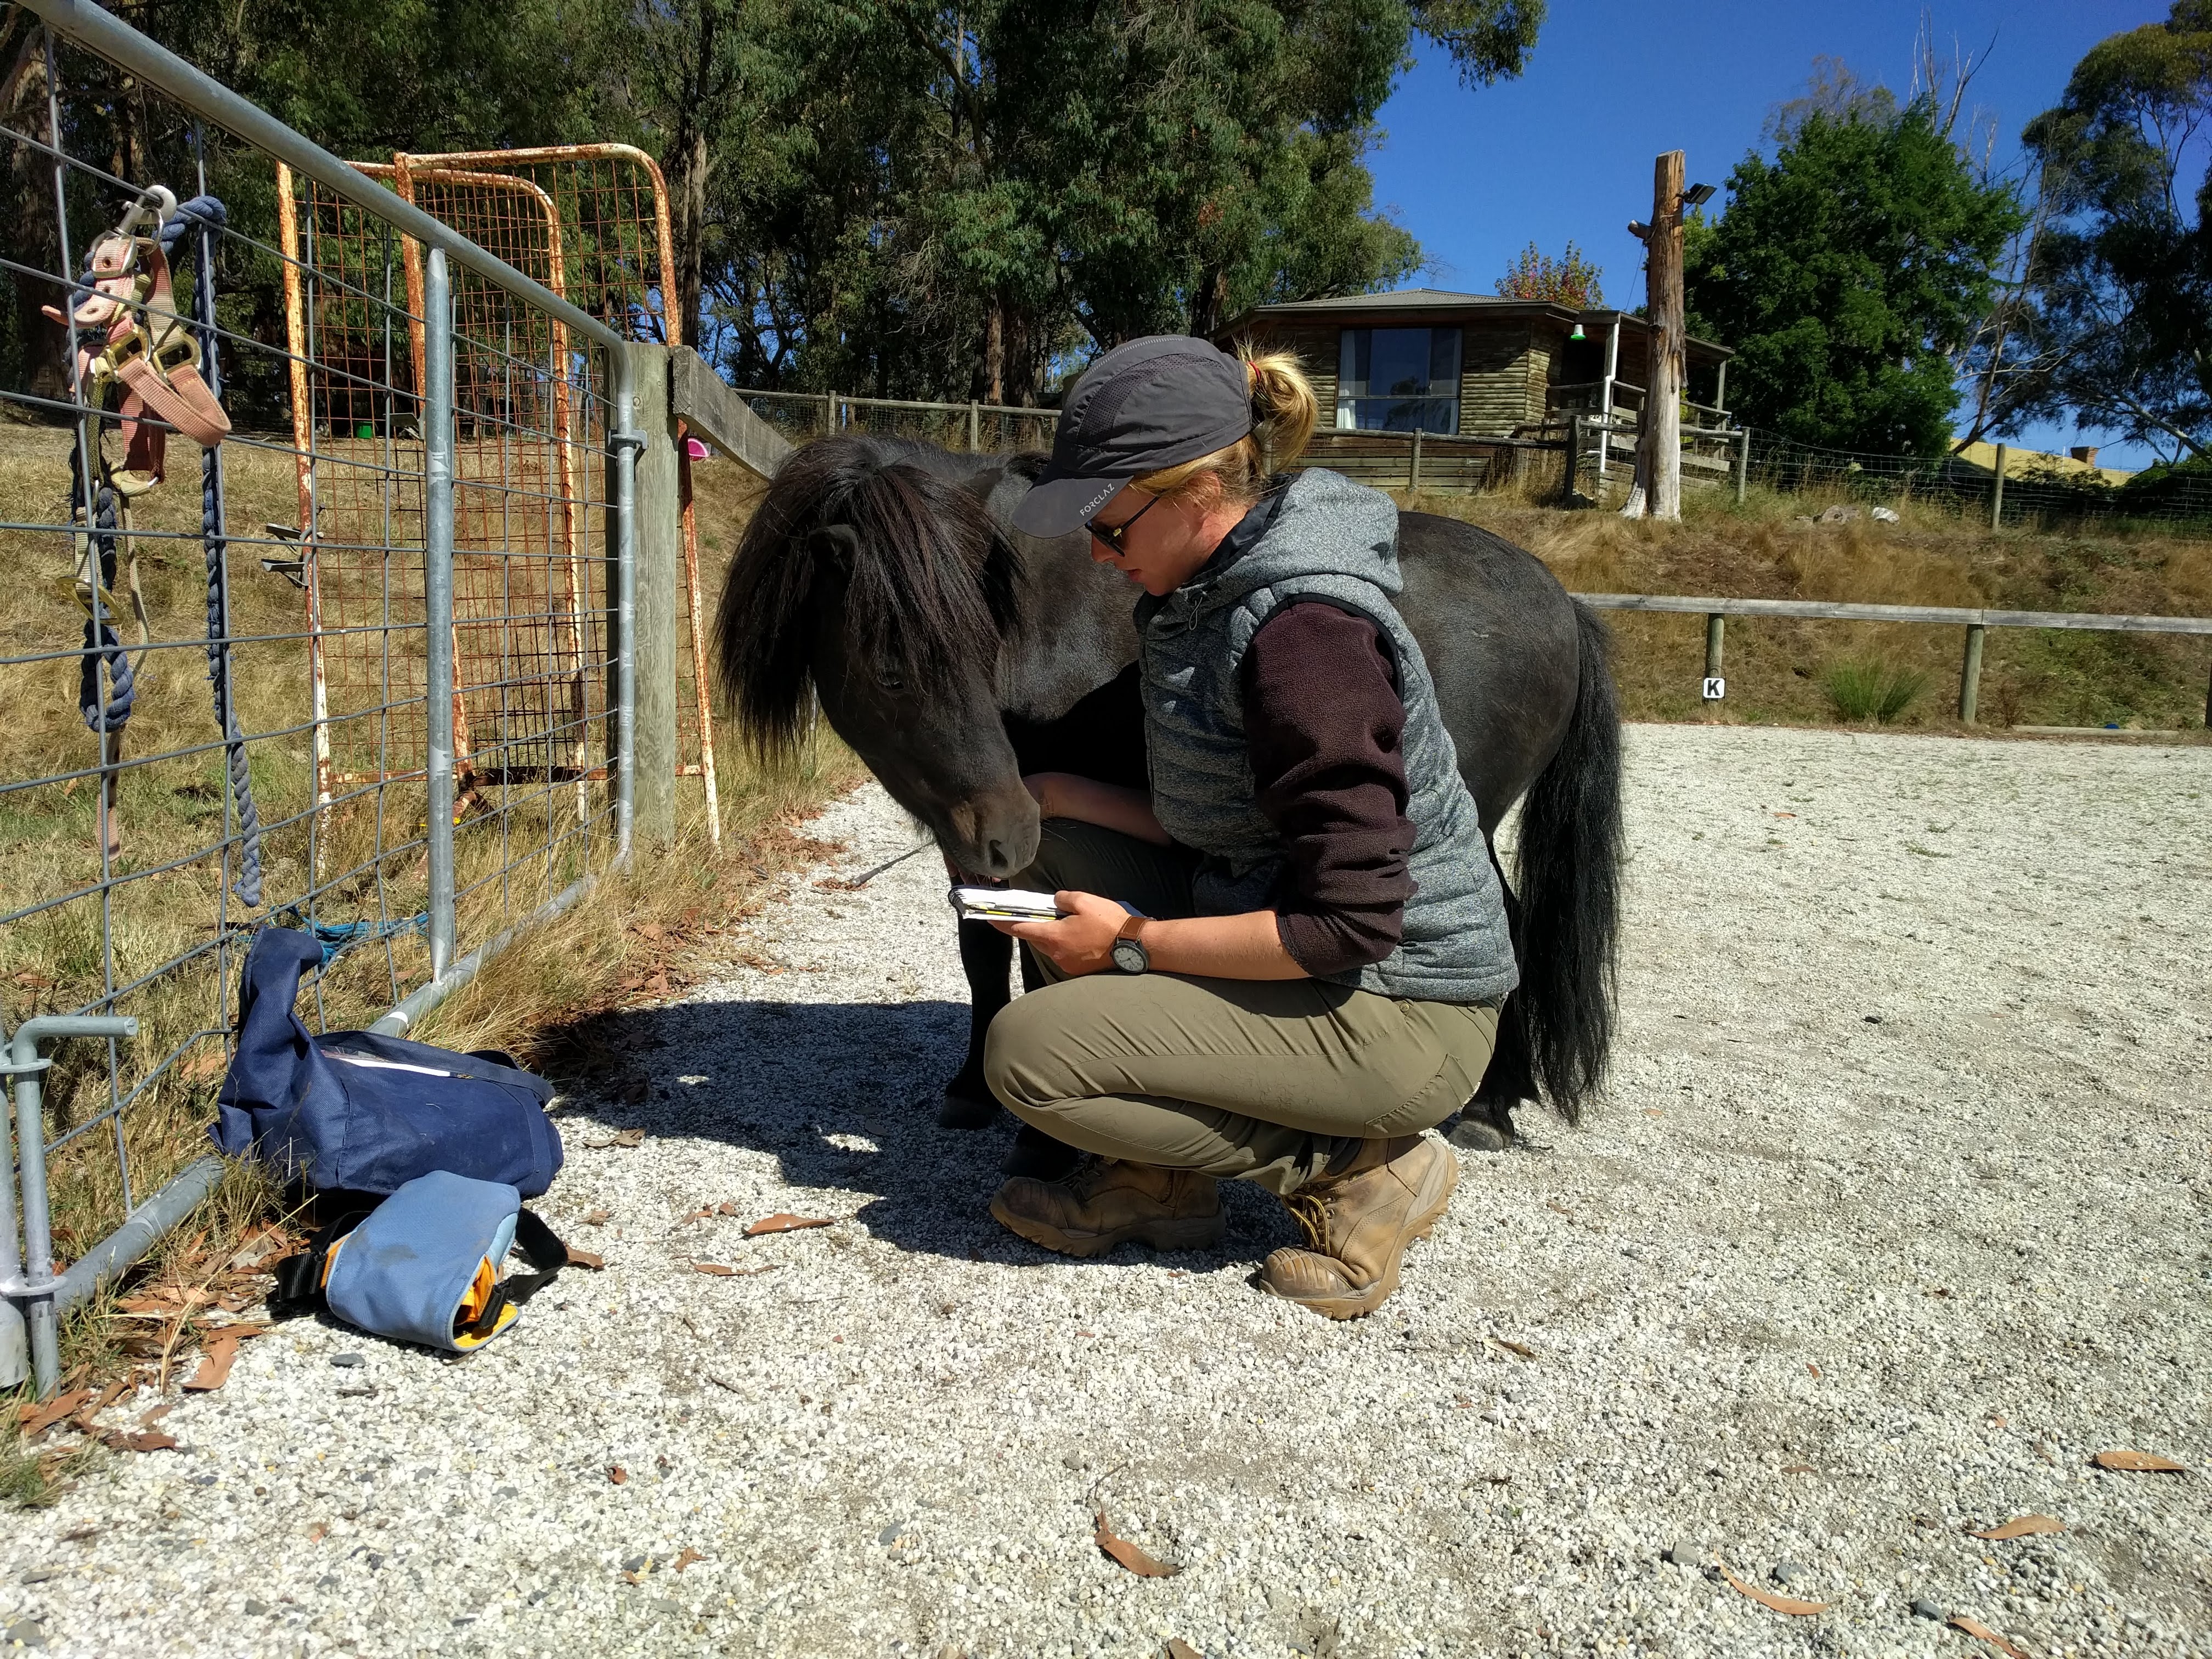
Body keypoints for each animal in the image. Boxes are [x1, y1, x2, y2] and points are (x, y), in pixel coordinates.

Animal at [714, 432, 1623, 1169]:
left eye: (980, 643)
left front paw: (1035, 1136)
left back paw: (1490, 1105)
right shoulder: (965, 836)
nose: (1015, 829)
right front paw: (971, 1088)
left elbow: (1034, 968)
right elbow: (981, 957)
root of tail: (1563, 602)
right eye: (892, 670)